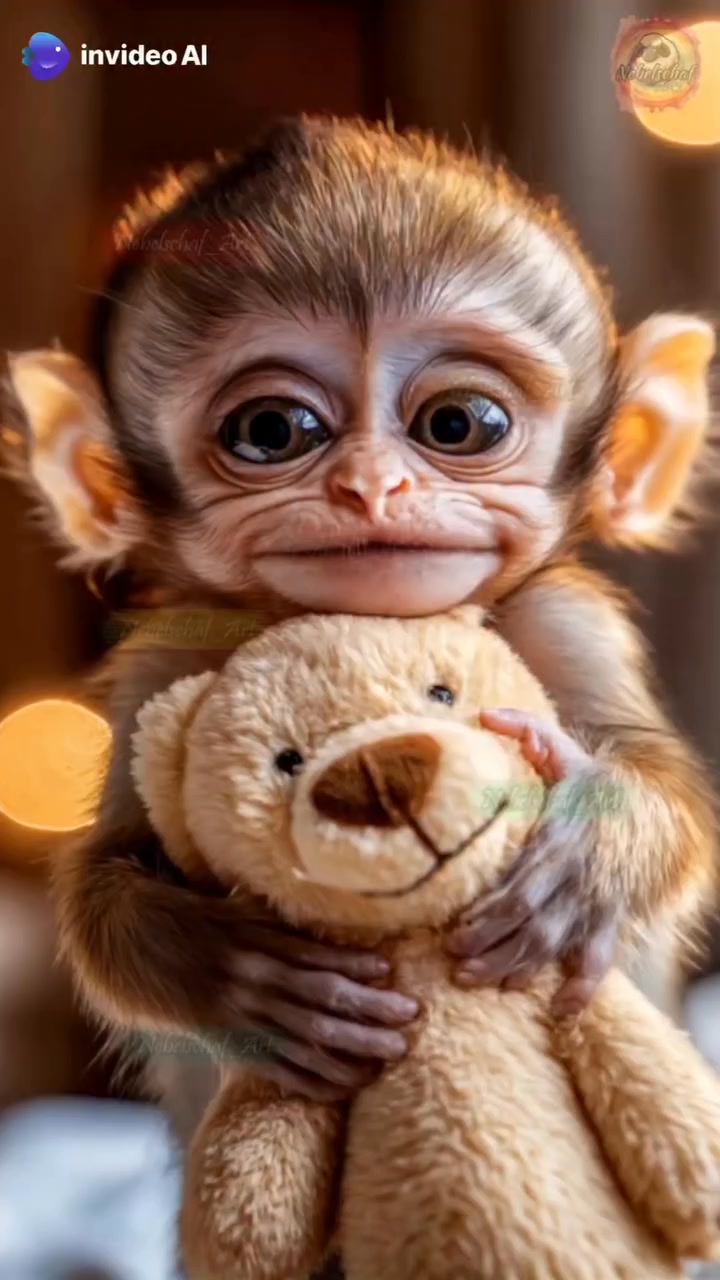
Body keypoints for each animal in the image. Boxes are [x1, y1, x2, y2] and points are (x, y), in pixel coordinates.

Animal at [3, 115, 717, 1103]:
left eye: (461, 423)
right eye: (272, 431)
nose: (373, 487)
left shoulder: (571, 625)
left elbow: (673, 797)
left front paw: (582, 859)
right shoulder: (157, 662)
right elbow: (103, 878)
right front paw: (236, 971)